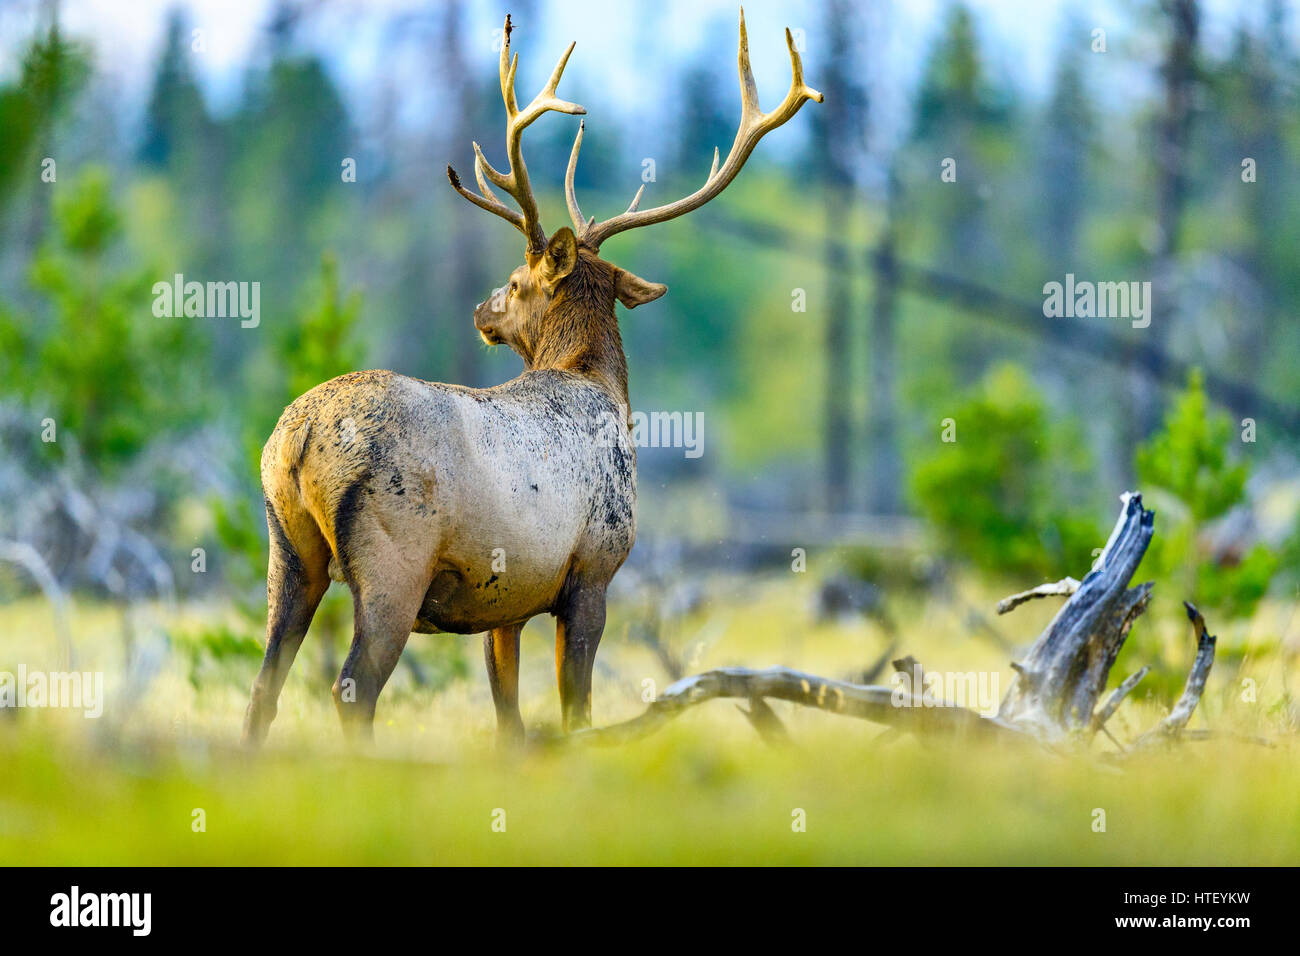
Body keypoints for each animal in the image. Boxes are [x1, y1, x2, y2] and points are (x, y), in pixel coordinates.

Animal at [241, 8, 821, 747]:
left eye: (514, 282)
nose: (481, 308)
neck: (605, 389)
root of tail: (298, 438)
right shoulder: (593, 570)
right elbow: (577, 709)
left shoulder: (507, 600)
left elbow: (510, 722)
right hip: (393, 559)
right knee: (352, 690)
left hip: (287, 551)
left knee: (263, 688)